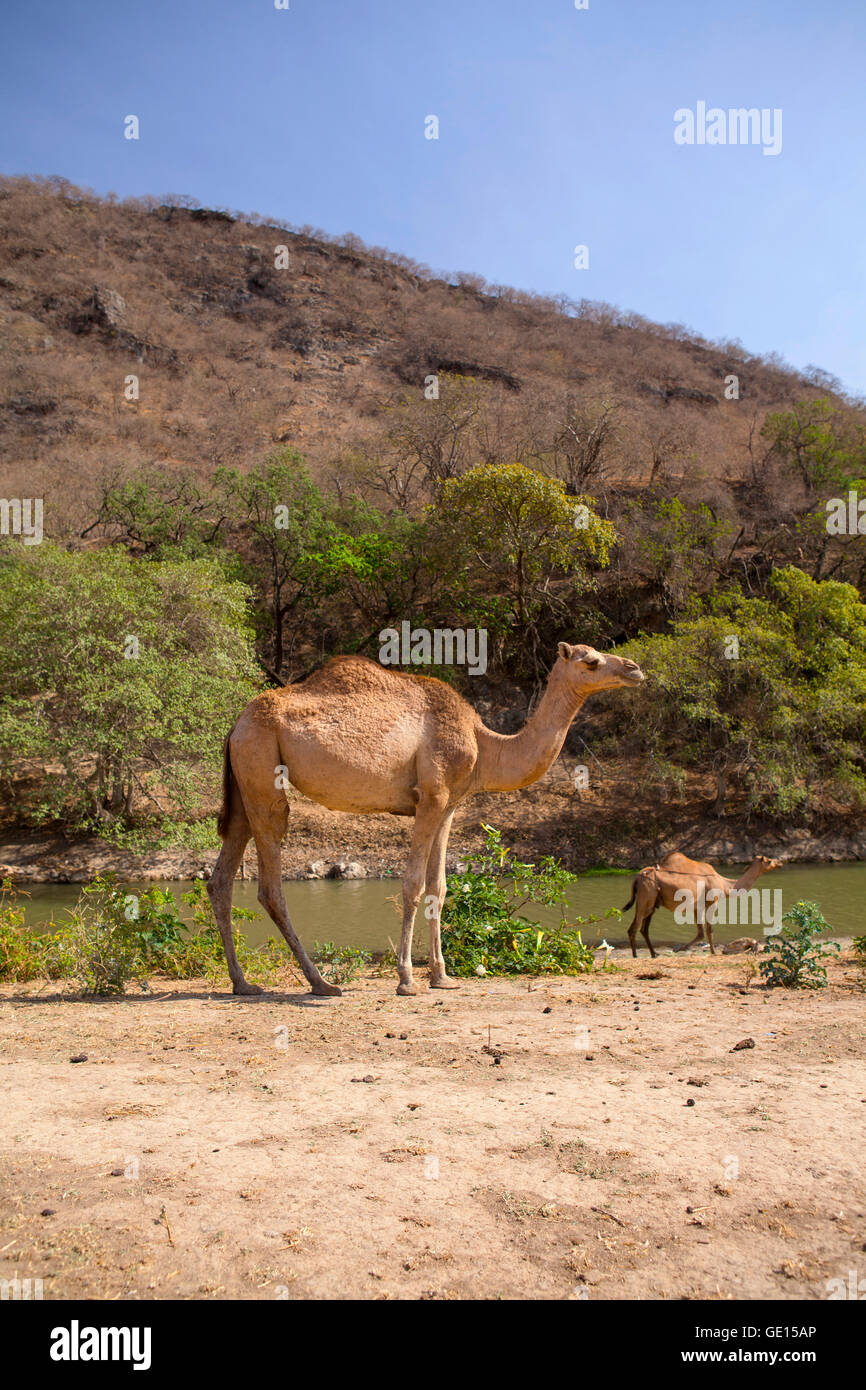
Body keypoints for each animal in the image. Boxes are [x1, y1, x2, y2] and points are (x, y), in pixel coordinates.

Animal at [207, 642, 644, 997]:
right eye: (590, 661)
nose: (634, 668)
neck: (485, 745)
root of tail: (235, 726)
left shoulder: (450, 805)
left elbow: (440, 887)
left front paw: (441, 976)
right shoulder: (431, 797)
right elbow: (413, 884)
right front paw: (406, 979)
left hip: (244, 785)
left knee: (221, 880)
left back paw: (243, 983)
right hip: (263, 771)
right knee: (270, 885)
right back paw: (321, 983)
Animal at [623, 852, 783, 958]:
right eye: (769, 861)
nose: (780, 862)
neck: (725, 885)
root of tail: (637, 878)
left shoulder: (697, 906)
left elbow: (700, 932)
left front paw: (679, 949)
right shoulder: (712, 902)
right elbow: (709, 930)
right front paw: (713, 952)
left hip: (652, 903)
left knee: (644, 928)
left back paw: (654, 953)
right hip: (646, 896)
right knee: (634, 928)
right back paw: (636, 955)